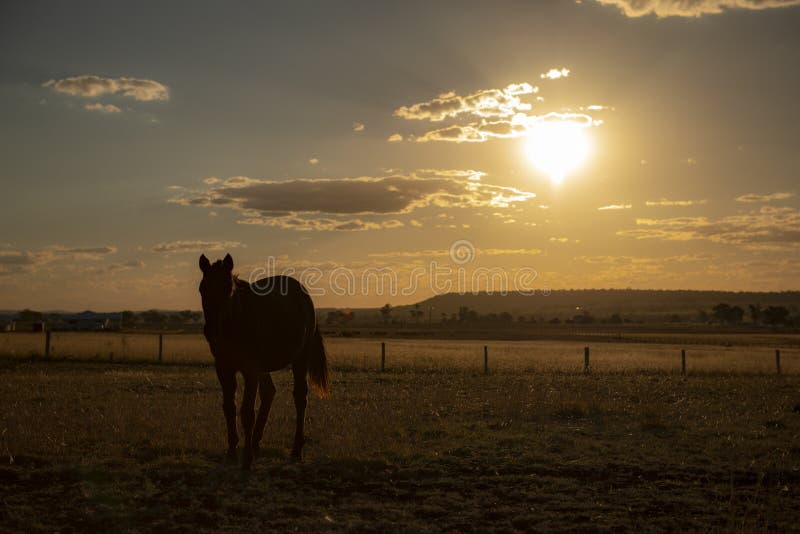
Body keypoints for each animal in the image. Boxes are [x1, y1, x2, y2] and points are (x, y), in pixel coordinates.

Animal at [198, 253, 329, 470]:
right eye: (202, 288)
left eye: (228, 288)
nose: (211, 331)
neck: (236, 323)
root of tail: (304, 295)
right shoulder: (224, 368)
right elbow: (229, 407)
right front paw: (232, 452)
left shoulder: (250, 370)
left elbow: (246, 412)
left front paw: (246, 461)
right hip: (264, 368)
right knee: (269, 392)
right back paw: (256, 444)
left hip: (299, 360)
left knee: (300, 397)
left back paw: (296, 450)